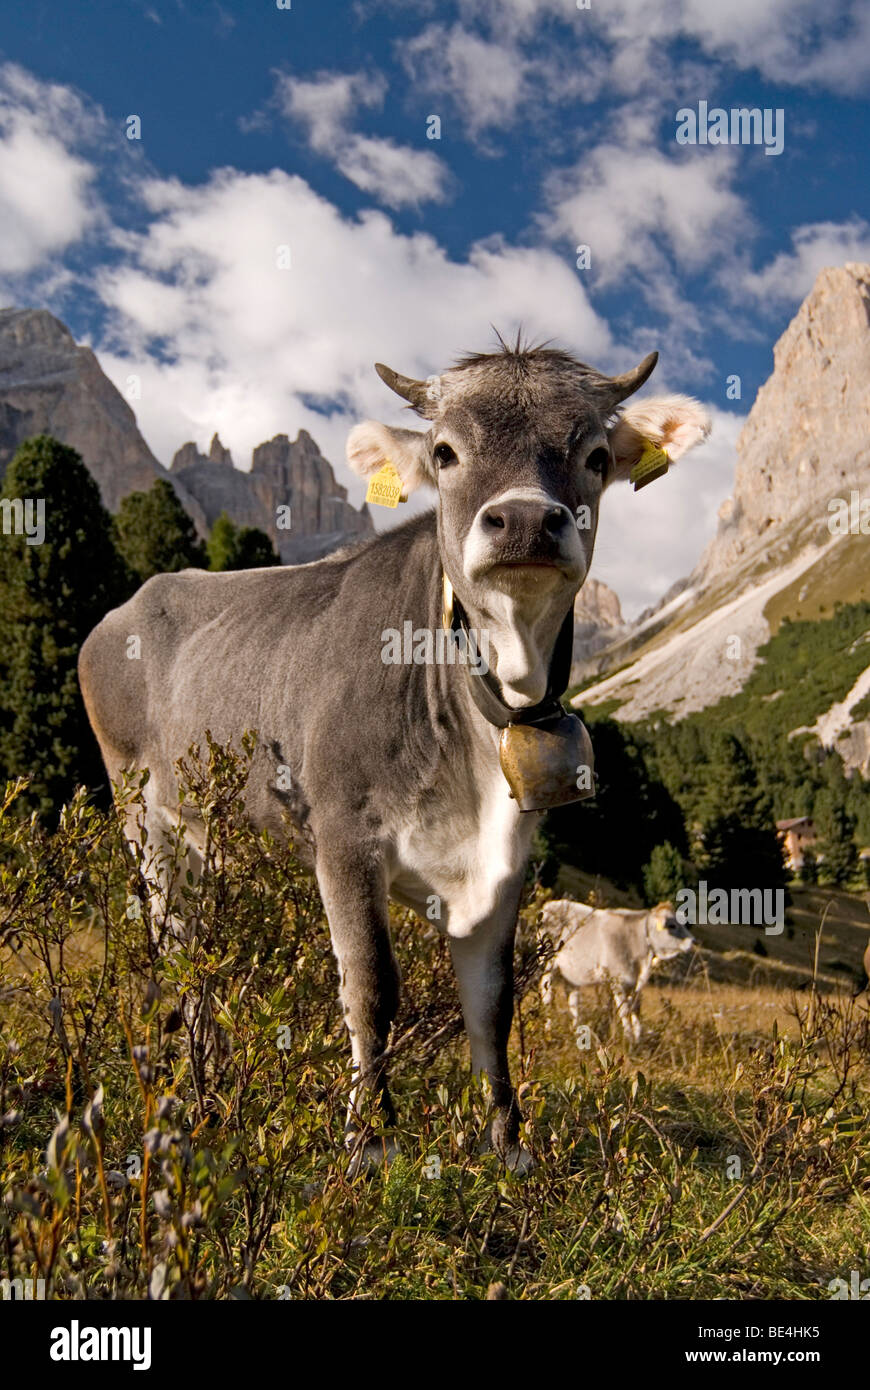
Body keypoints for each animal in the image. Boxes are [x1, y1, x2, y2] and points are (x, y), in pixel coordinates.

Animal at [539, 899, 696, 1044]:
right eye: (672, 925)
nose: (692, 941)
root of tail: (549, 905)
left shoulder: (633, 983)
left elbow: (636, 1010)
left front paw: (638, 1039)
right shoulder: (618, 982)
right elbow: (625, 1011)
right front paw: (629, 1040)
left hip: (572, 972)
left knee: (572, 998)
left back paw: (577, 1033)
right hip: (548, 963)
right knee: (547, 994)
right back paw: (548, 1033)